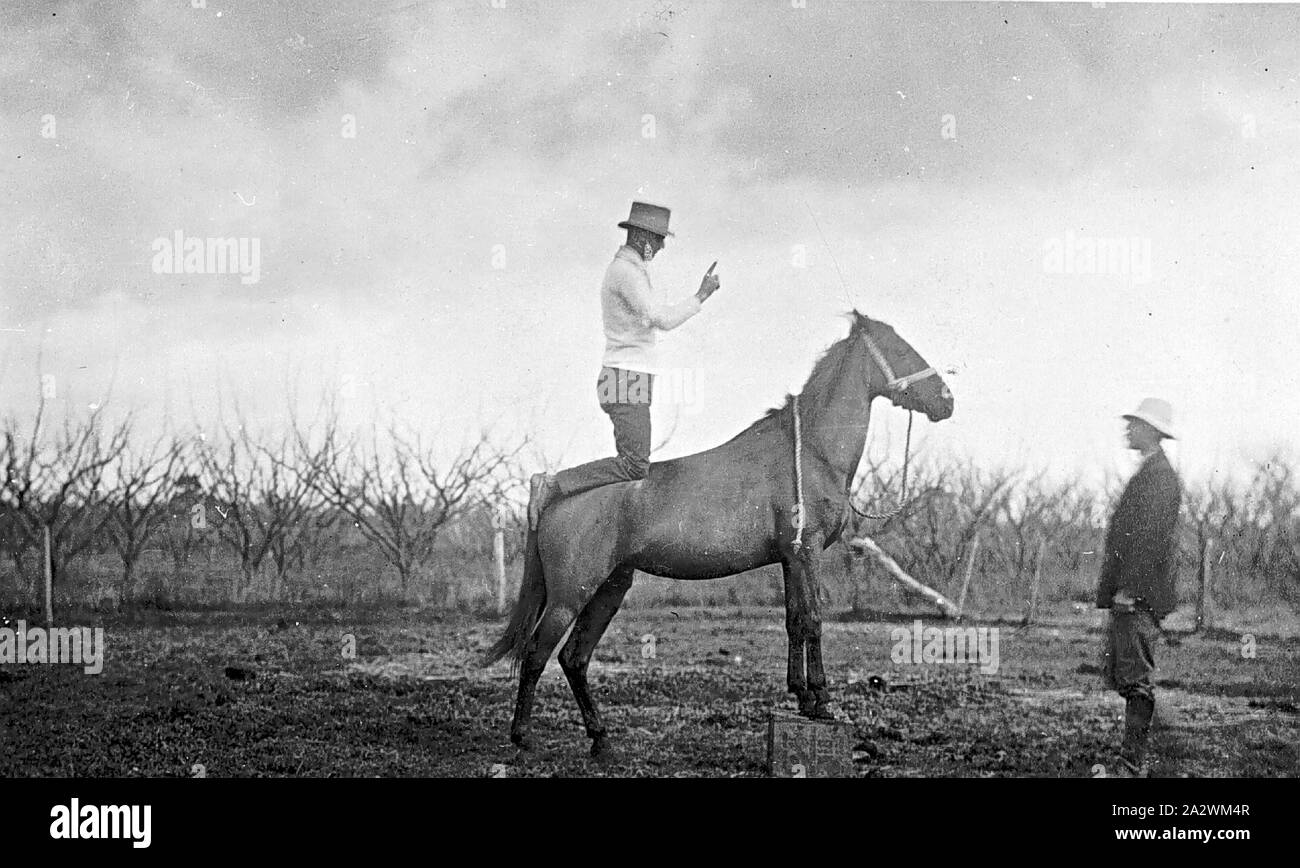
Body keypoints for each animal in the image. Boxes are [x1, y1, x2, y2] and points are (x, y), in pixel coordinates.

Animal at [483, 311, 954, 756]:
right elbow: (814, 620)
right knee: (537, 653)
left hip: (609, 588)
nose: (947, 401)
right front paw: (821, 702)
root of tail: (549, 498)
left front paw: (801, 697)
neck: (811, 454)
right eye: (901, 348)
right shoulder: (808, 553)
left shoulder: (791, 558)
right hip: (570, 594)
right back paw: (523, 737)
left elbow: (794, 621)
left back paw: (601, 739)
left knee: (574, 657)